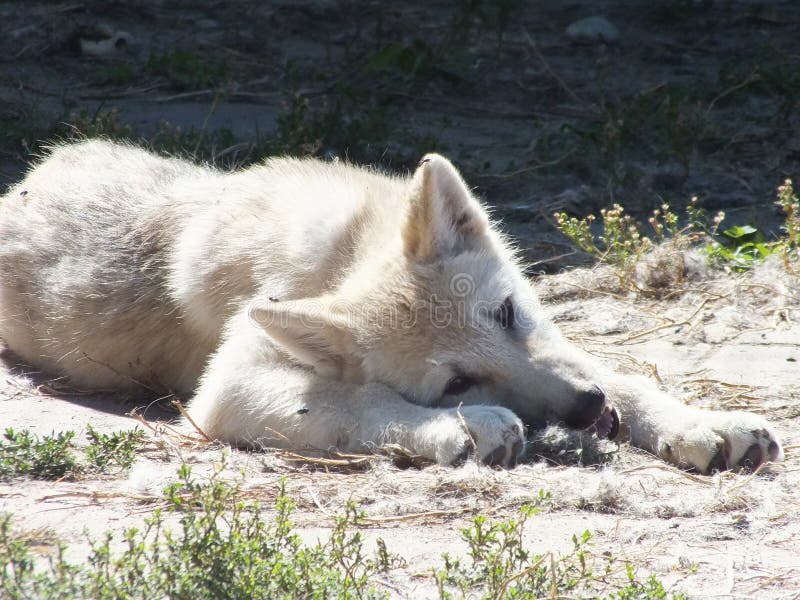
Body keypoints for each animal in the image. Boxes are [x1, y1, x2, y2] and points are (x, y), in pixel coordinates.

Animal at [0, 140, 783, 472]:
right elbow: (357, 403)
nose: (587, 413)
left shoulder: (565, 353)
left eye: (506, 313)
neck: (347, 246)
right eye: (457, 383)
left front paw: (704, 424)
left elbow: (628, 378)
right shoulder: (224, 388)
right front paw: (462, 429)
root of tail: (30, 177)